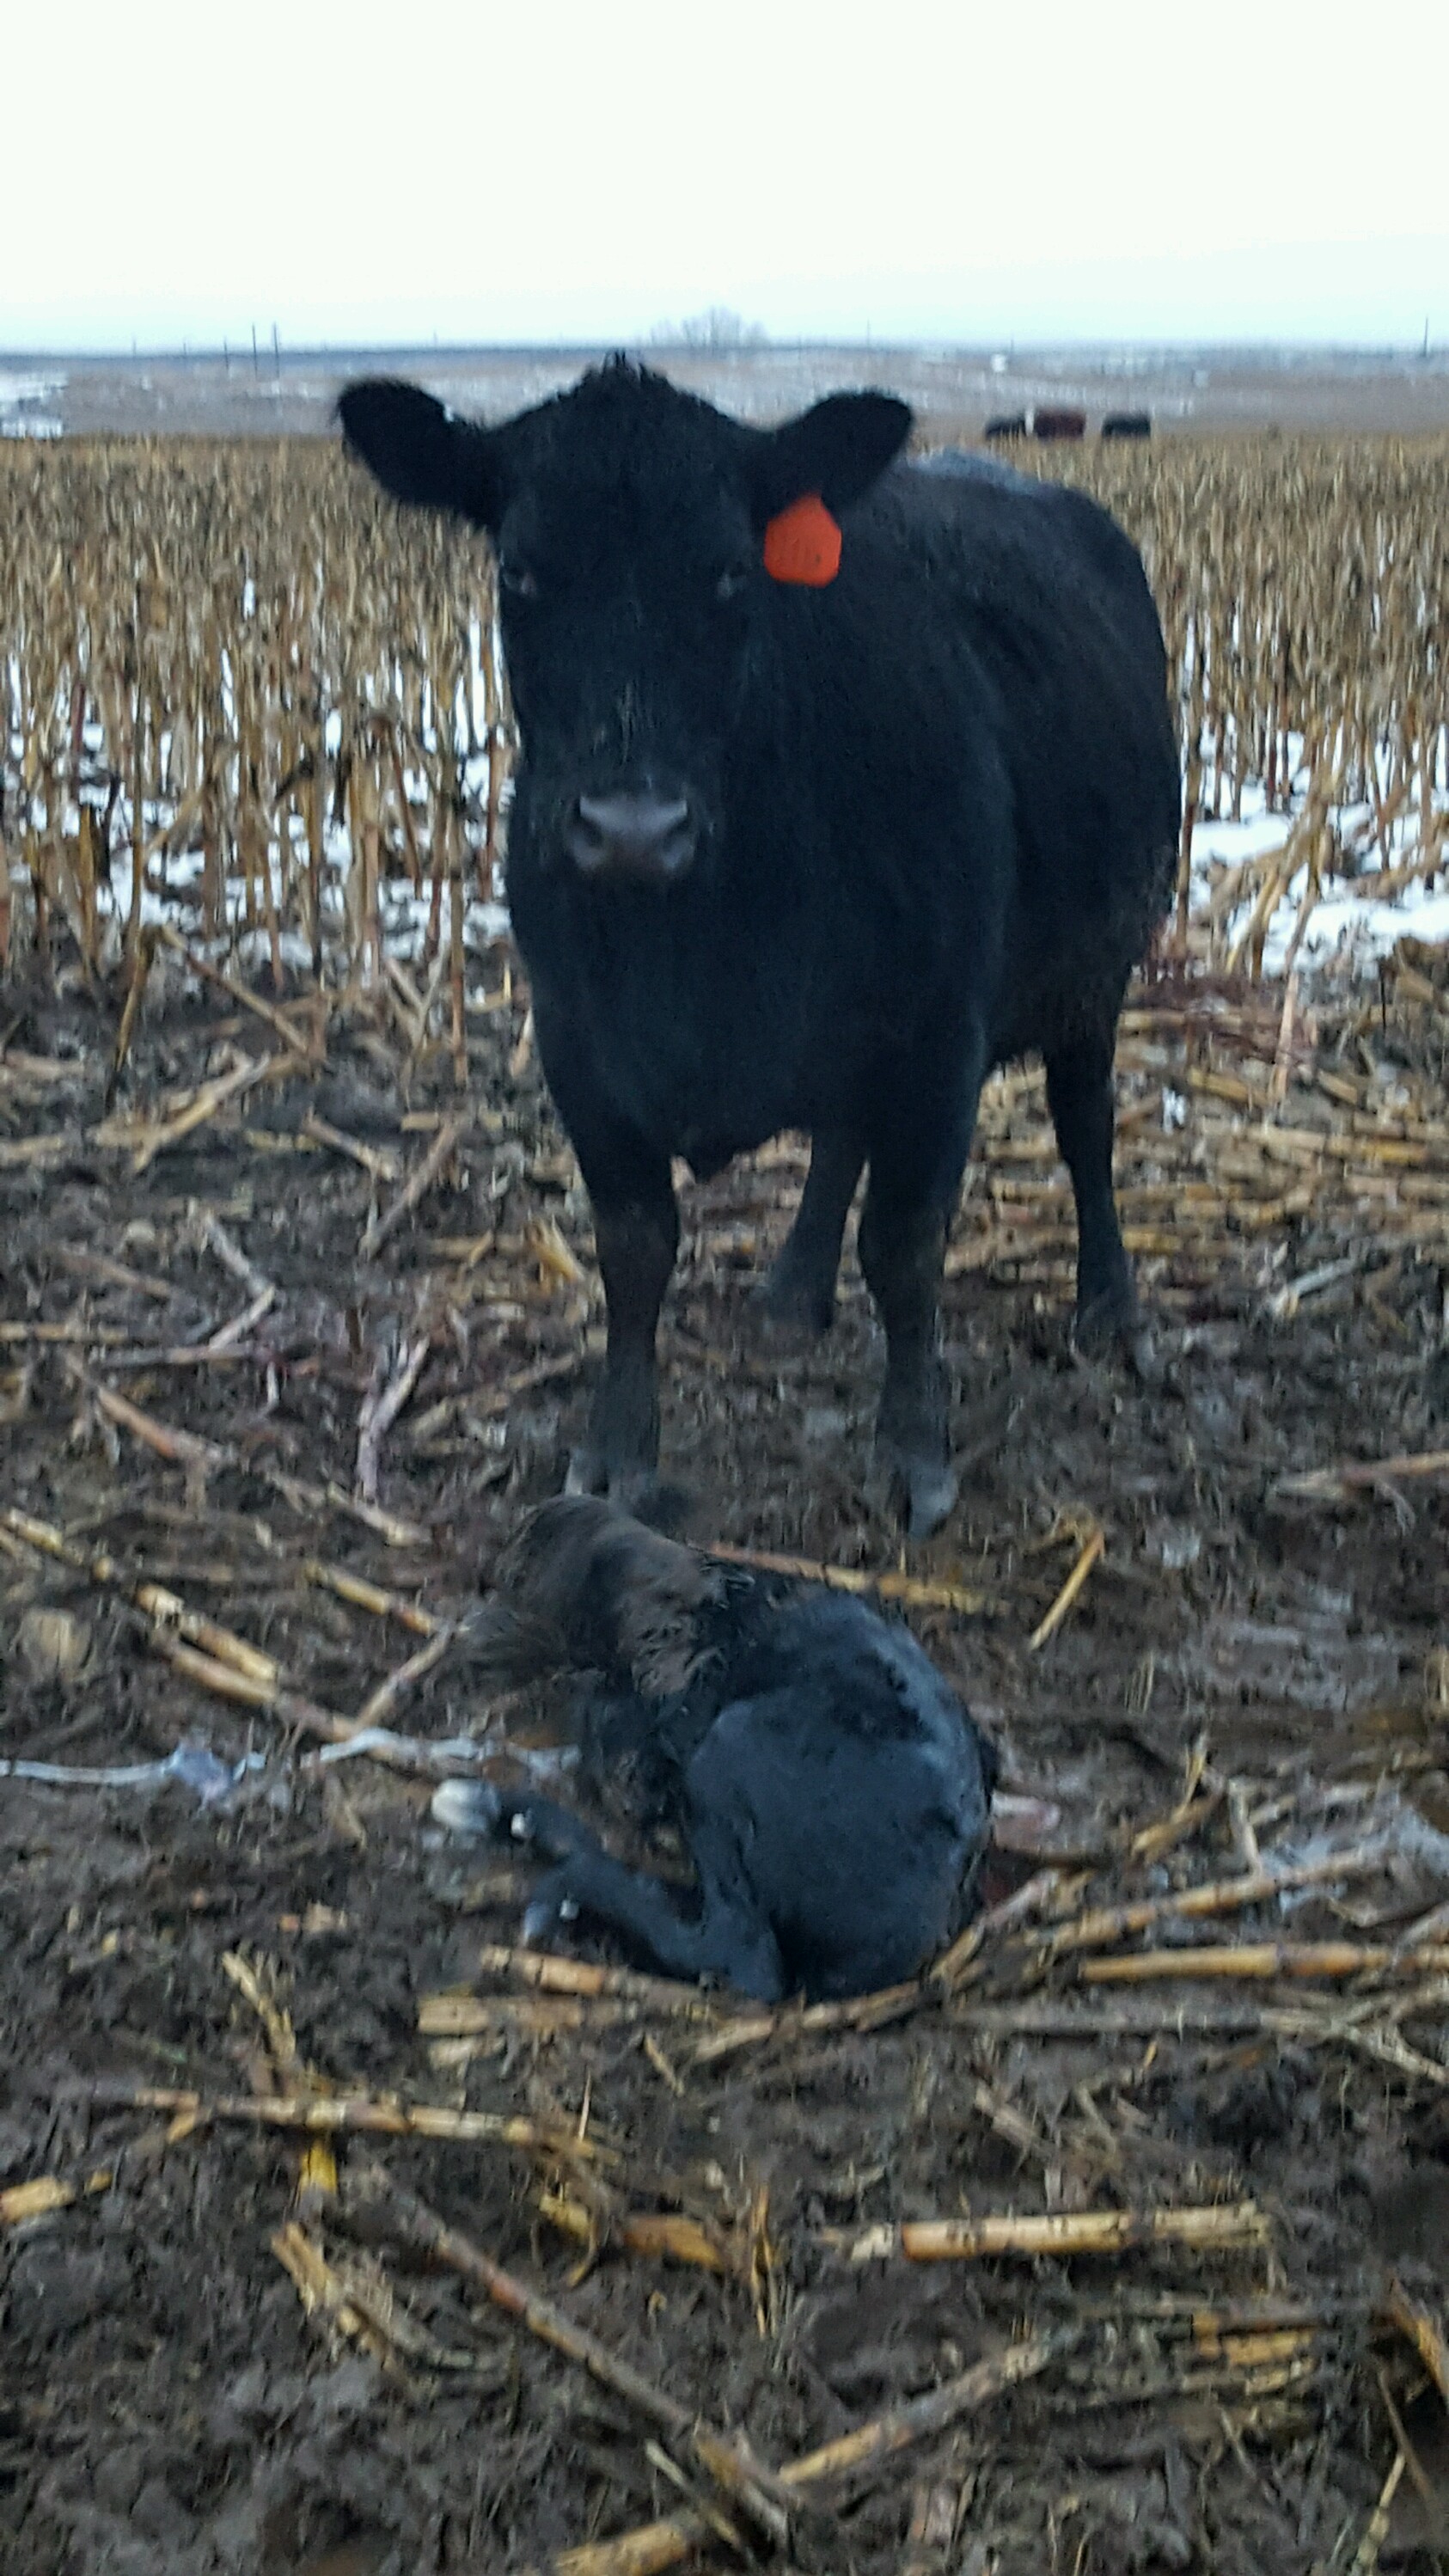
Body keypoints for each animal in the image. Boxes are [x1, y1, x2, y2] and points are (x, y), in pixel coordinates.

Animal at [339, 358, 1180, 1534]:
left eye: (734, 572)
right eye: (521, 568)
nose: (632, 829)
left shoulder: (937, 1043)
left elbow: (905, 1247)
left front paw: (913, 1454)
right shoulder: (578, 1044)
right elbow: (635, 1249)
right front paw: (618, 1451)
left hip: (1096, 974)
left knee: (1085, 1125)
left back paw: (1111, 1306)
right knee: (839, 1139)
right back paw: (793, 1284)